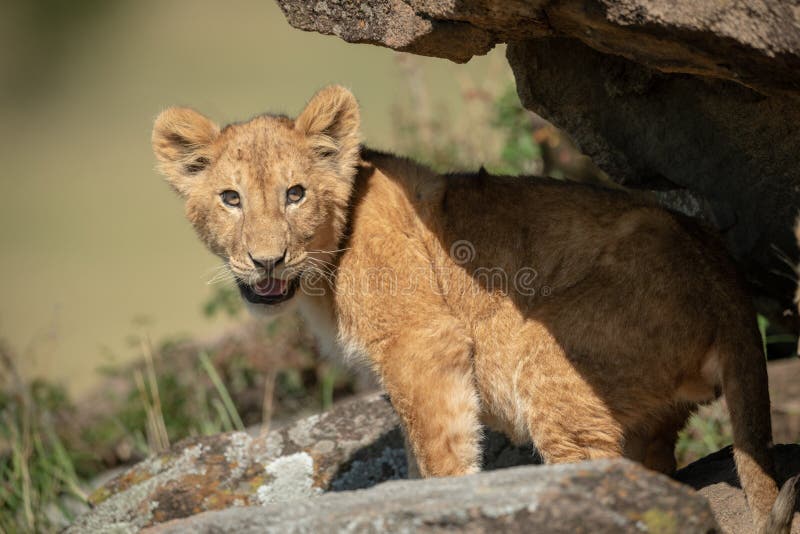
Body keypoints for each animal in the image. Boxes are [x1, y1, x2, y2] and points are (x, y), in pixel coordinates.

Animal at [152, 85, 798, 532]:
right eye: (230, 198)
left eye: (295, 193)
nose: (267, 261)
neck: (323, 273)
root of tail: (724, 277)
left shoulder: (422, 340)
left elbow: (440, 453)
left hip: (548, 352)